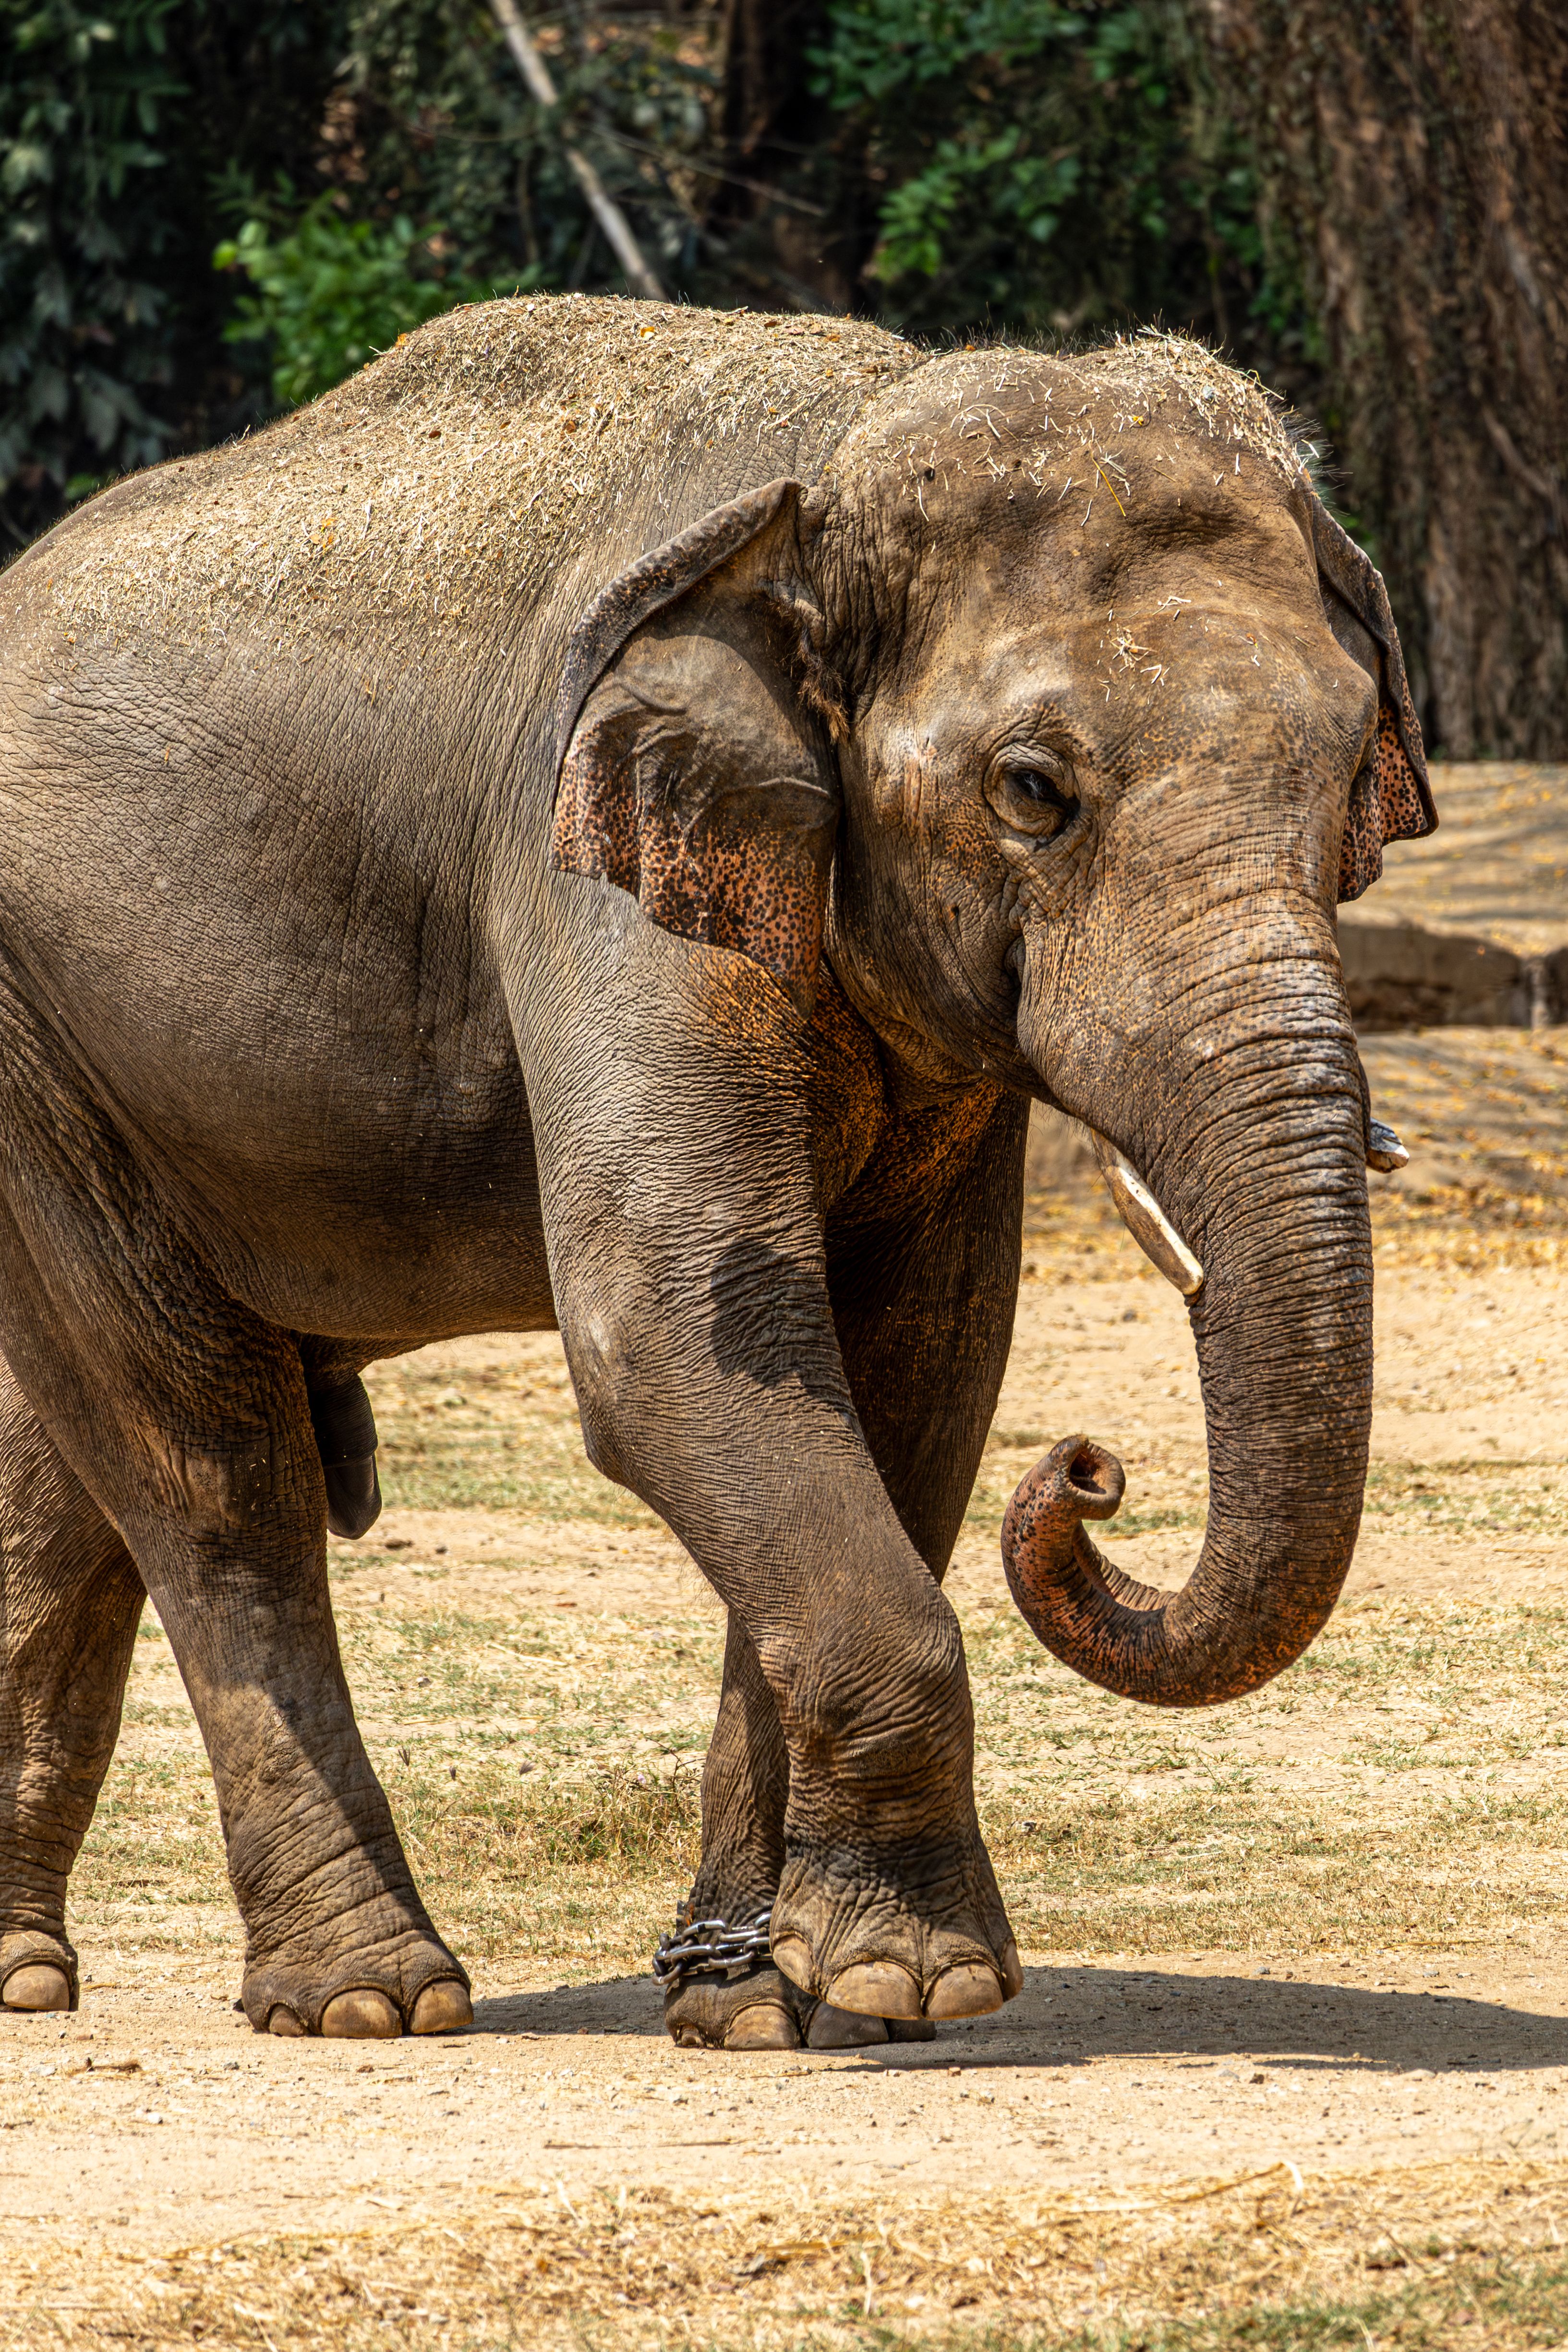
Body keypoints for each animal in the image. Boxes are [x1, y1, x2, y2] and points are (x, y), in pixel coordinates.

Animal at [0, 295, 1433, 2050]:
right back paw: (369, 1999)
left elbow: (912, 1376)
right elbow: (672, 1334)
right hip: (36, 1021)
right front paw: (918, 1977)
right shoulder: (579, 861)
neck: (835, 456)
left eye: (1345, 776)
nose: (1091, 1471)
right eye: (1033, 791)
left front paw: (776, 1998)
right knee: (205, 1460)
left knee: (71, 1469)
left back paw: (26, 1974)